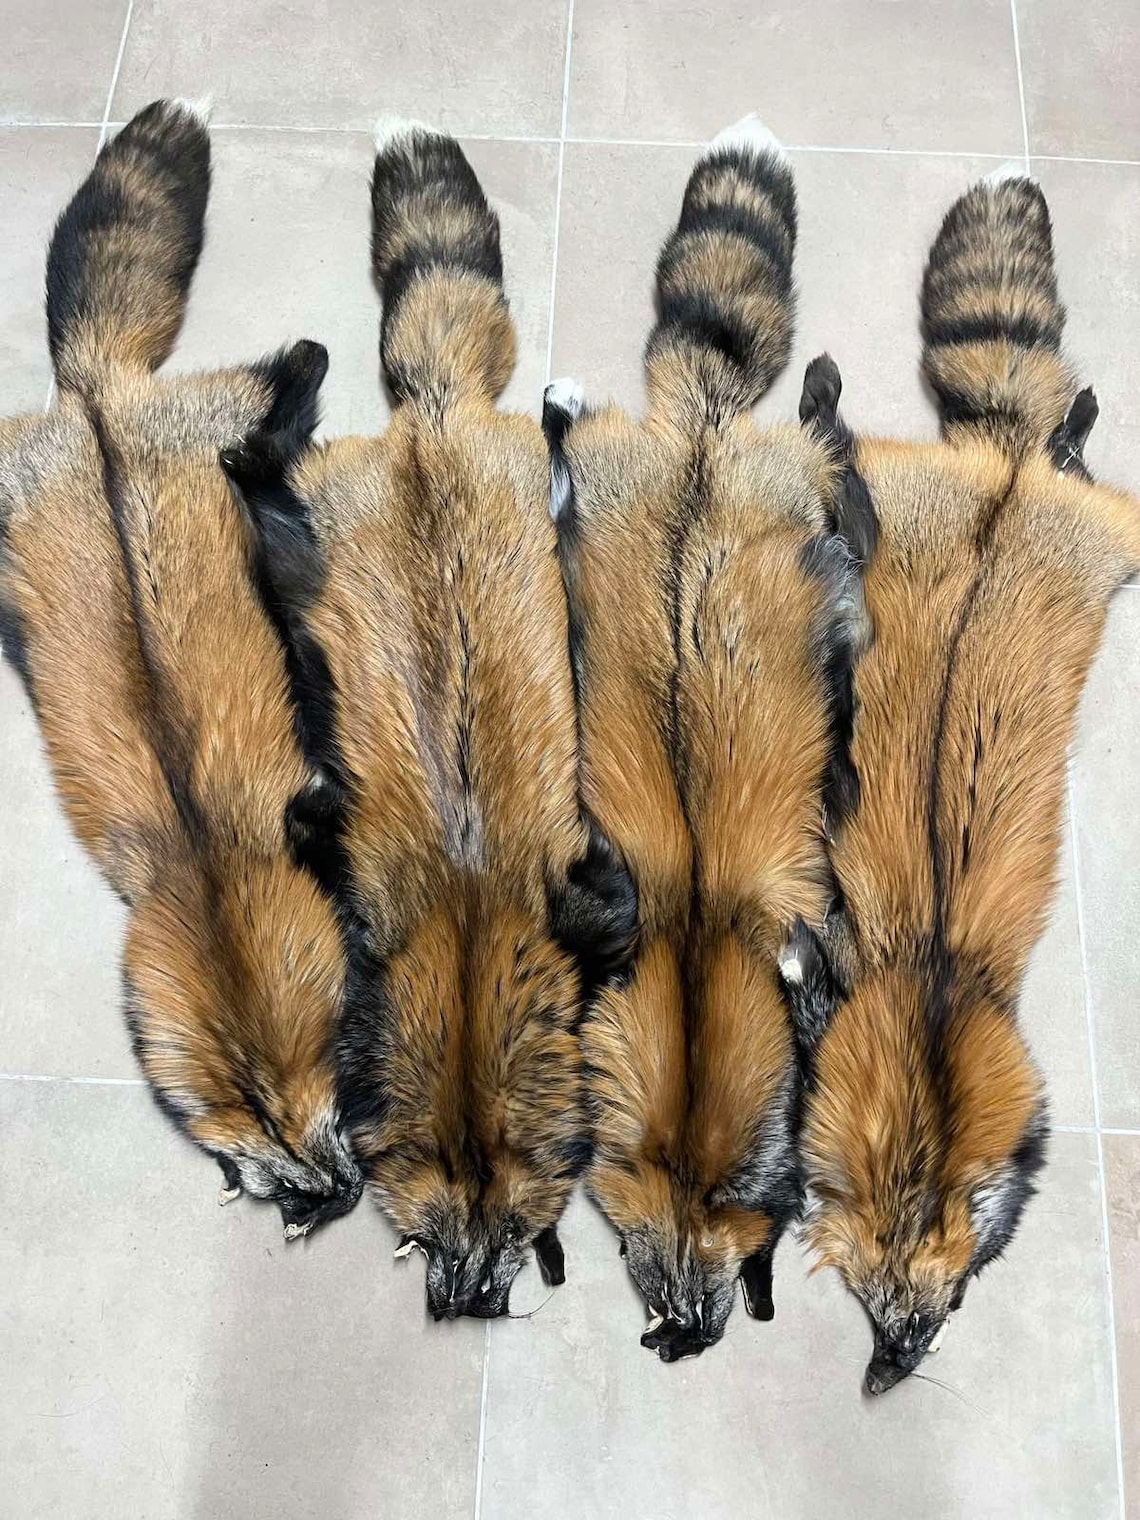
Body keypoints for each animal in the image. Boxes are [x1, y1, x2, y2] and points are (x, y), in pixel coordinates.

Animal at [0, 99, 362, 1236]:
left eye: (330, 1106)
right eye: (273, 1169)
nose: (335, 1198)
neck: (207, 868)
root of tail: (93, 394)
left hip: (222, 405)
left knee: (298, 362)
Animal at [223, 121, 635, 1317]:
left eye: (505, 1231)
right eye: (436, 1229)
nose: (465, 1302)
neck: (465, 927)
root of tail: (435, 418)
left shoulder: (573, 915)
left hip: (313, 544)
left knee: (262, 458)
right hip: (308, 562)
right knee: (262, 460)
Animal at [541, 117, 873, 1361]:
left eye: (696, 1294)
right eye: (653, 1283)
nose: (677, 1338)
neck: (692, 936)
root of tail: (700, 438)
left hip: (827, 567)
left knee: (844, 469)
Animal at [781, 168, 1140, 1394]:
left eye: (925, 1316)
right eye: (872, 1304)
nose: (880, 1380)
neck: (932, 999)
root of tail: (1005, 474)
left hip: (1082, 533)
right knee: (852, 460)